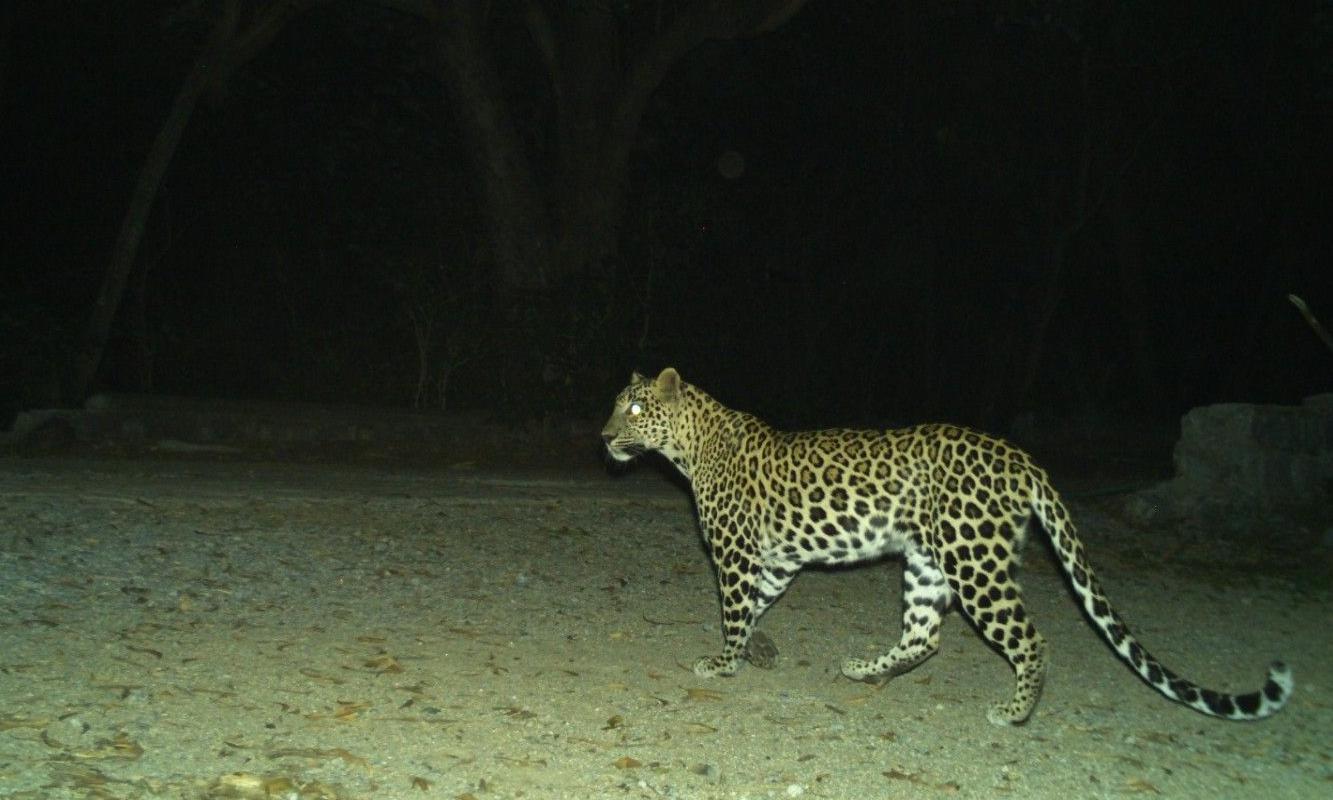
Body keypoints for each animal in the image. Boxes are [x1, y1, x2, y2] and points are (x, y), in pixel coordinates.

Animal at [600, 367, 1293, 725]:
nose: (604, 436)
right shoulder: (776, 564)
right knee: (924, 635)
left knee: (1030, 639)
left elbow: (733, 612)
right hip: (929, 563)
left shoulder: (738, 557)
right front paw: (747, 654)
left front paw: (722, 664)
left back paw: (1013, 712)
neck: (689, 446)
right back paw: (866, 670)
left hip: (973, 562)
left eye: (633, 409)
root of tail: (1020, 457)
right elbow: (757, 607)